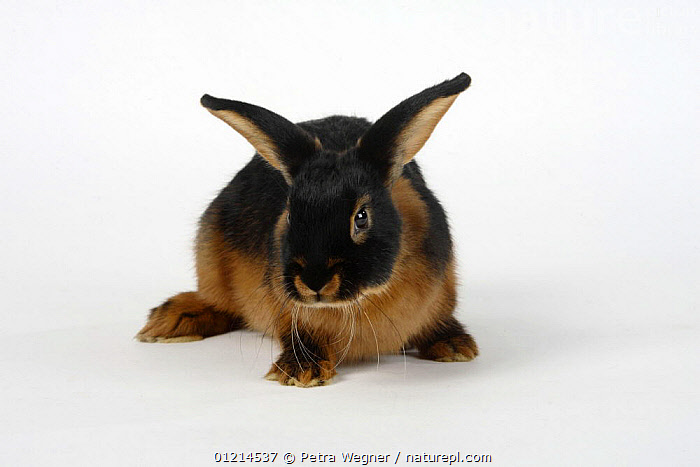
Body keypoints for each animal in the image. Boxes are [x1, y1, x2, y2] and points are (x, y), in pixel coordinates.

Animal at [136, 73, 478, 387]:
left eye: (361, 217)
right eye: (290, 214)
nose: (314, 281)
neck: (359, 302)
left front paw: (455, 347)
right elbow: (300, 335)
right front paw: (300, 371)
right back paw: (171, 321)